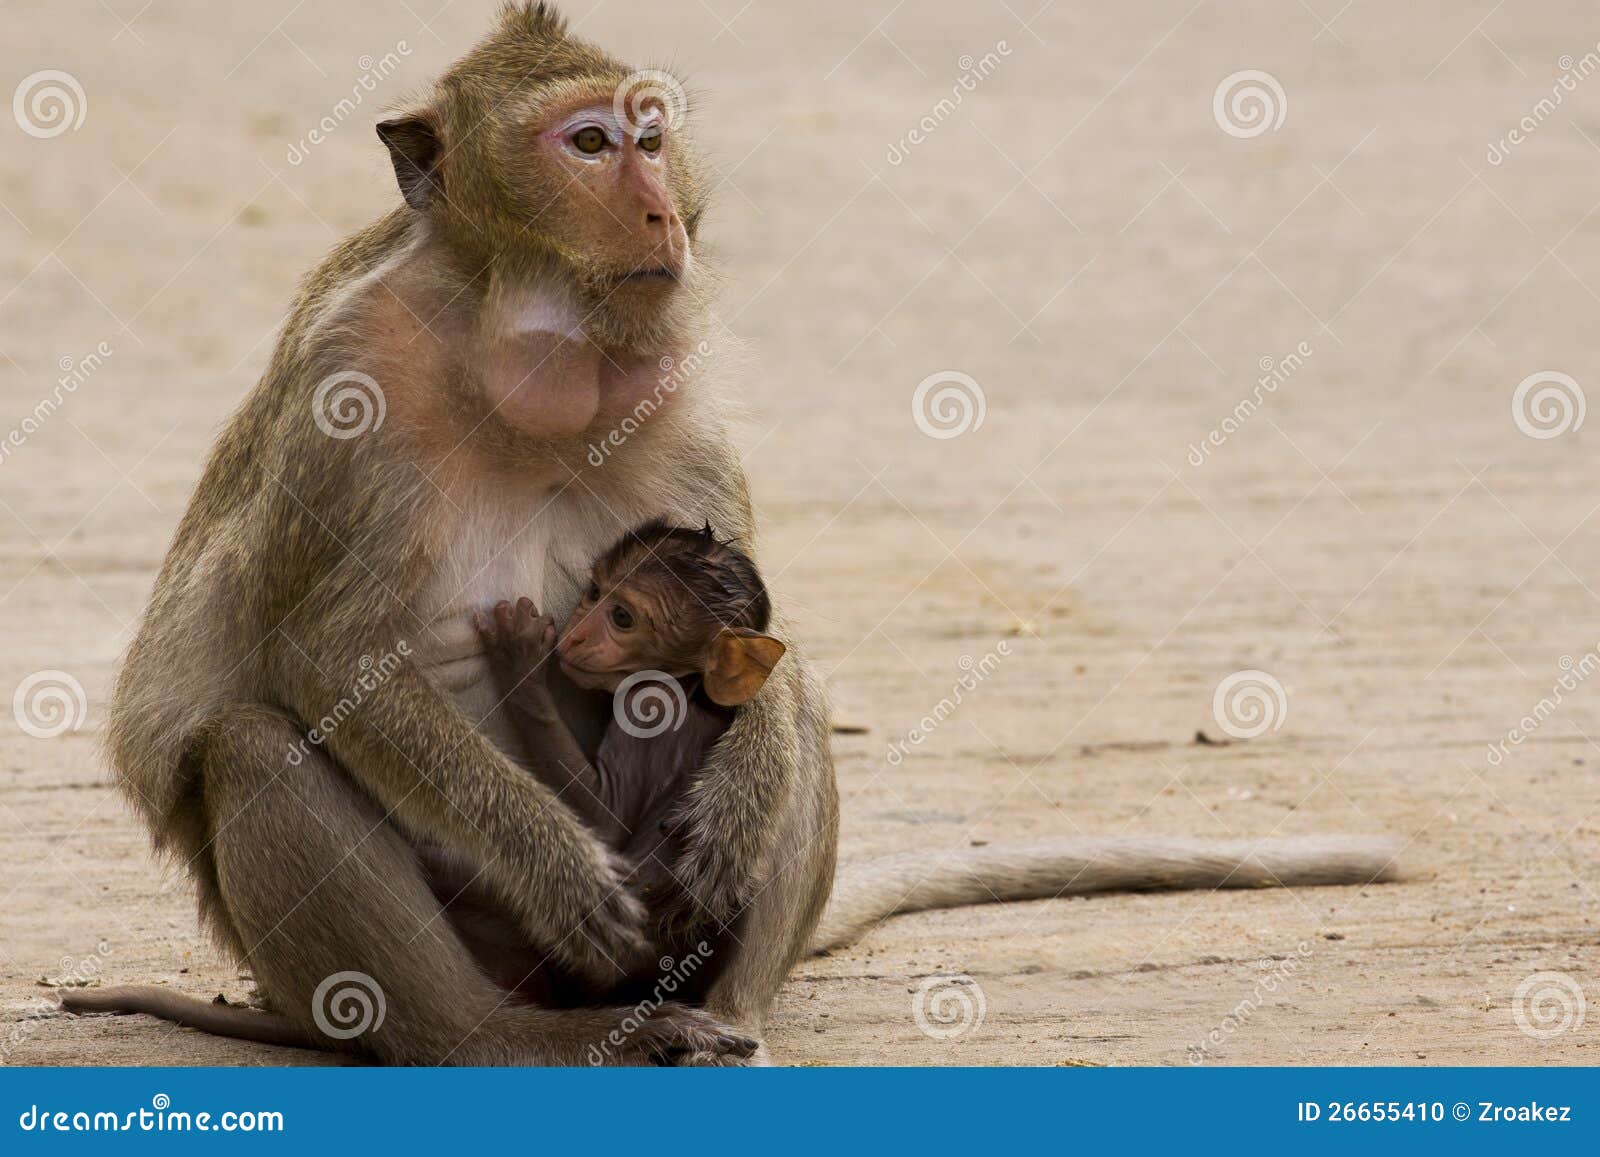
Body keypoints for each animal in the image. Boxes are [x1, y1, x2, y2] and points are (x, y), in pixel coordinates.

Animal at [62, 4, 1400, 1066]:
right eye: (587, 143)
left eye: (649, 133)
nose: (661, 208)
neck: (514, 335)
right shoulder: (353, 380)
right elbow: (328, 657)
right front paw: (554, 861)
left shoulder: (675, 376)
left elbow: (757, 621)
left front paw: (741, 784)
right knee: (252, 746)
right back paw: (502, 1039)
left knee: (793, 691)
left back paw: (731, 1013)